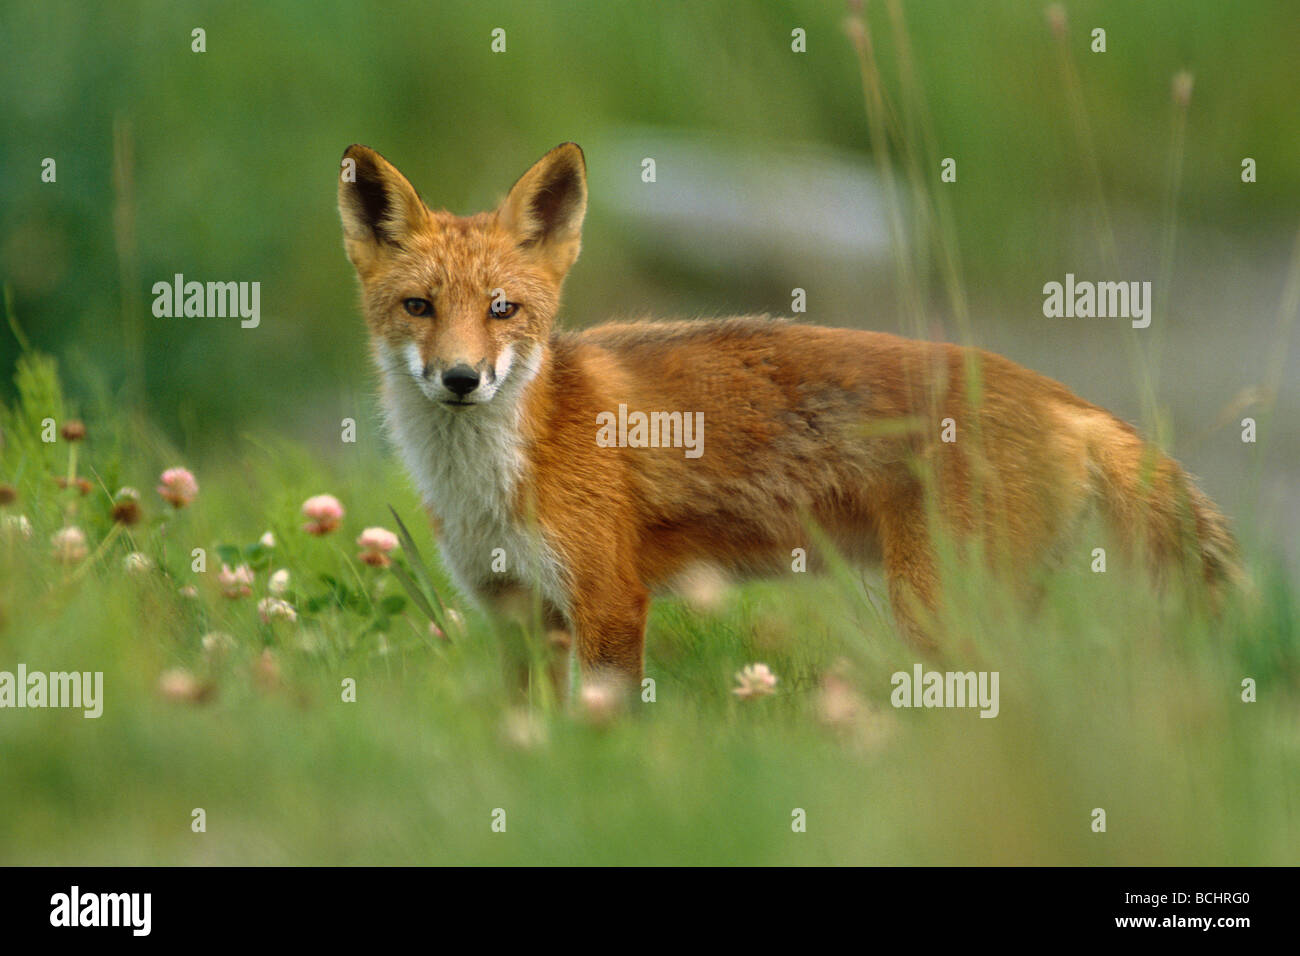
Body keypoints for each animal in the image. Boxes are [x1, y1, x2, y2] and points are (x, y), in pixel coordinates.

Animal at [337, 141, 1241, 691]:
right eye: (419, 307)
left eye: (503, 309)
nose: (461, 379)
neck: (496, 478)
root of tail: (1064, 398)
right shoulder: (515, 614)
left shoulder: (608, 601)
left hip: (940, 610)